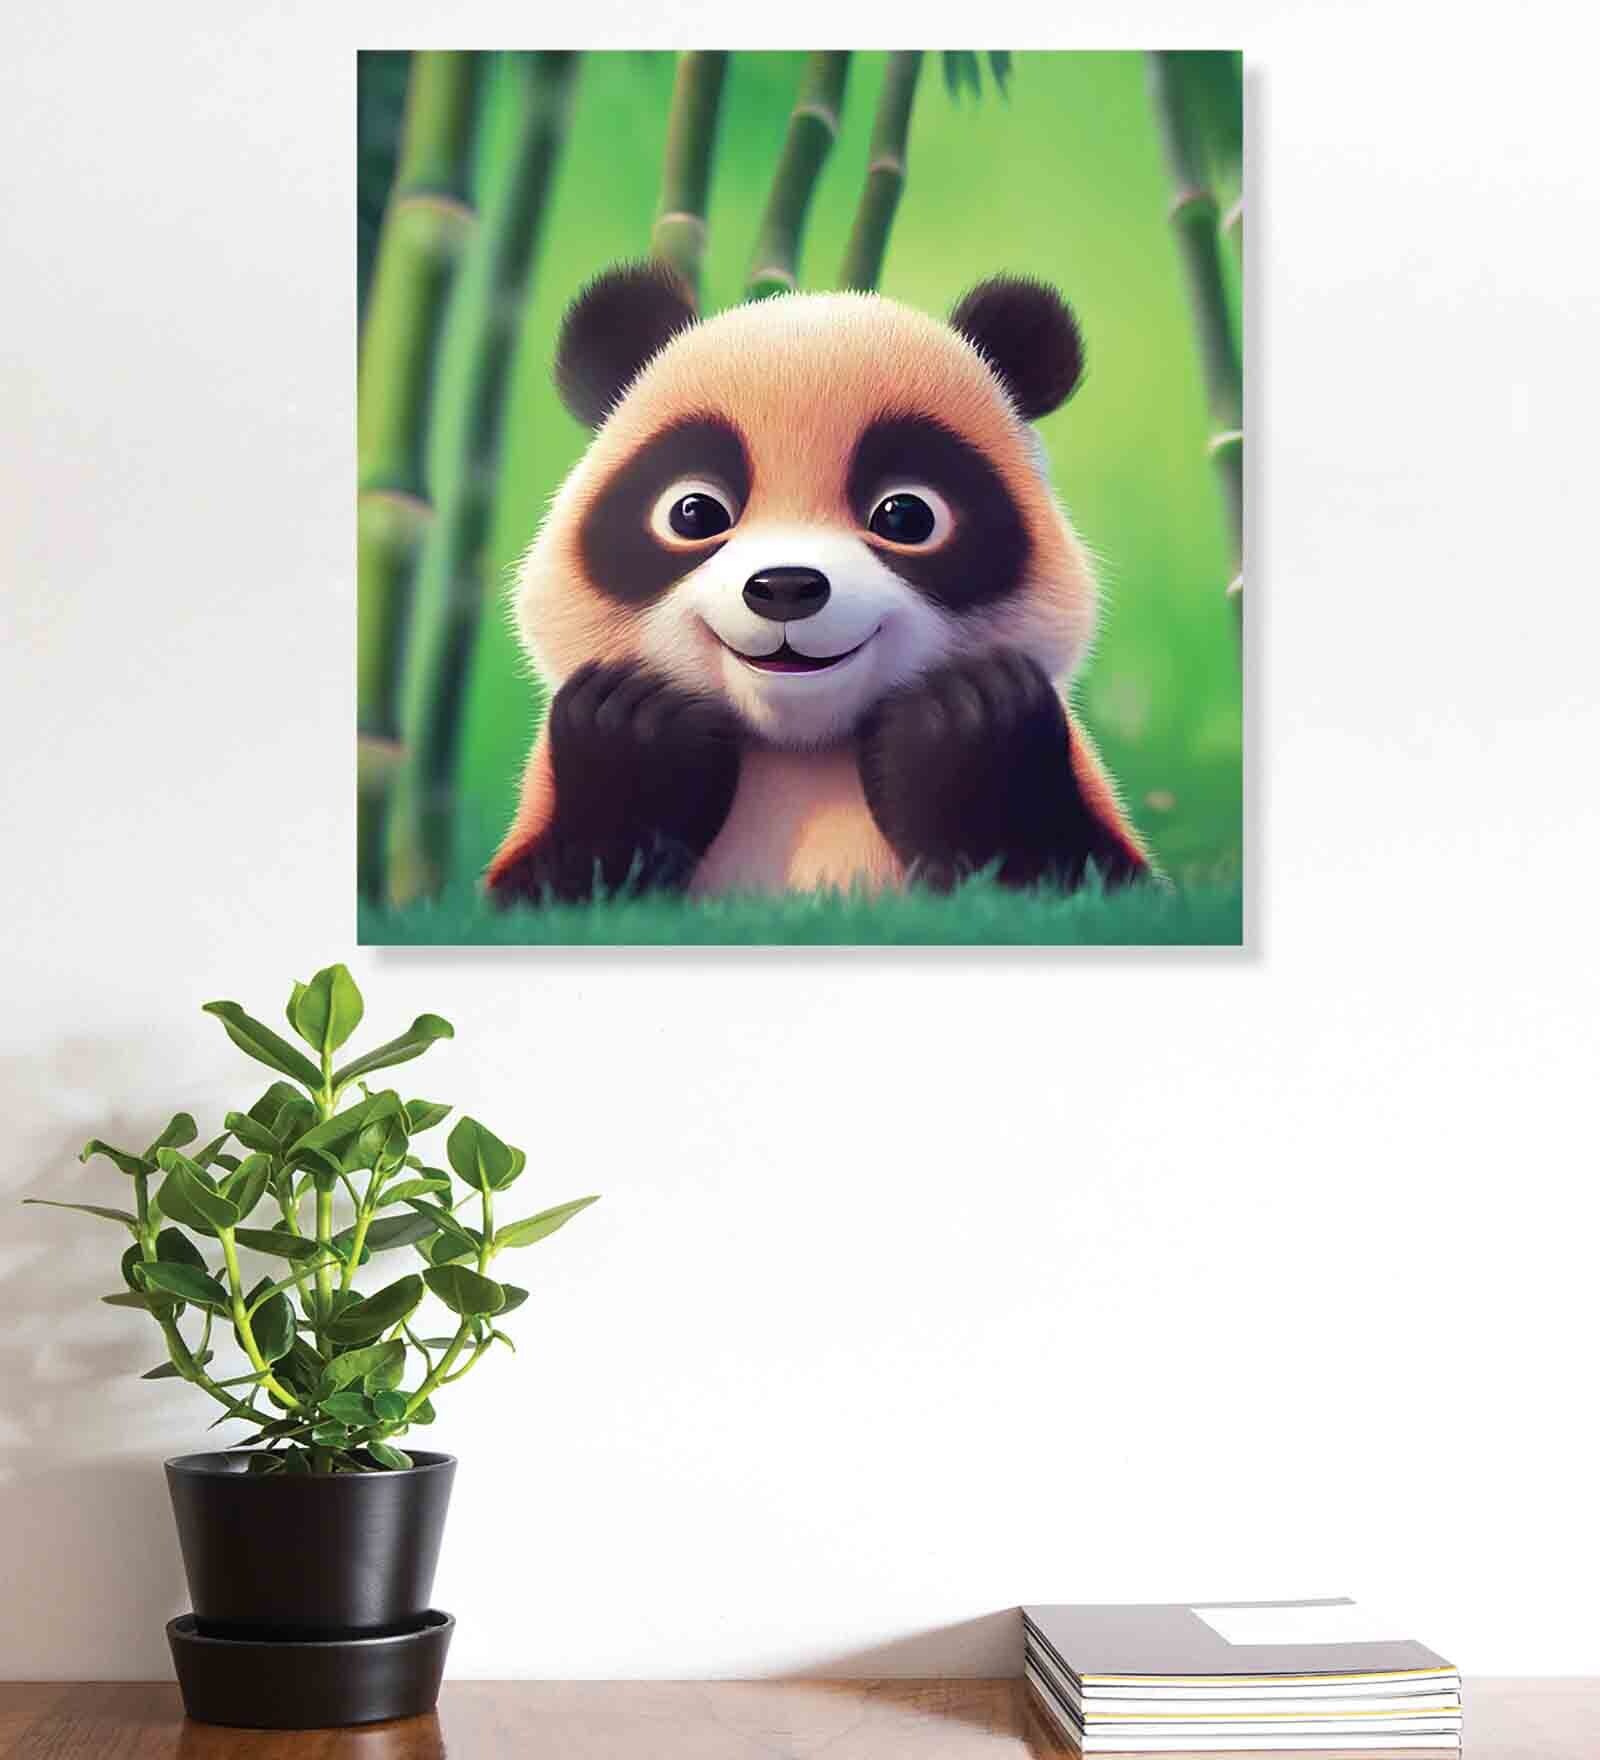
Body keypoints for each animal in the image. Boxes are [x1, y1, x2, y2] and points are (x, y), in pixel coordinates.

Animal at [487, 261, 1151, 904]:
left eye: (907, 516)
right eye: (693, 514)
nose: (785, 586)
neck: (800, 754)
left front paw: (966, 722)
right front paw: (635, 728)